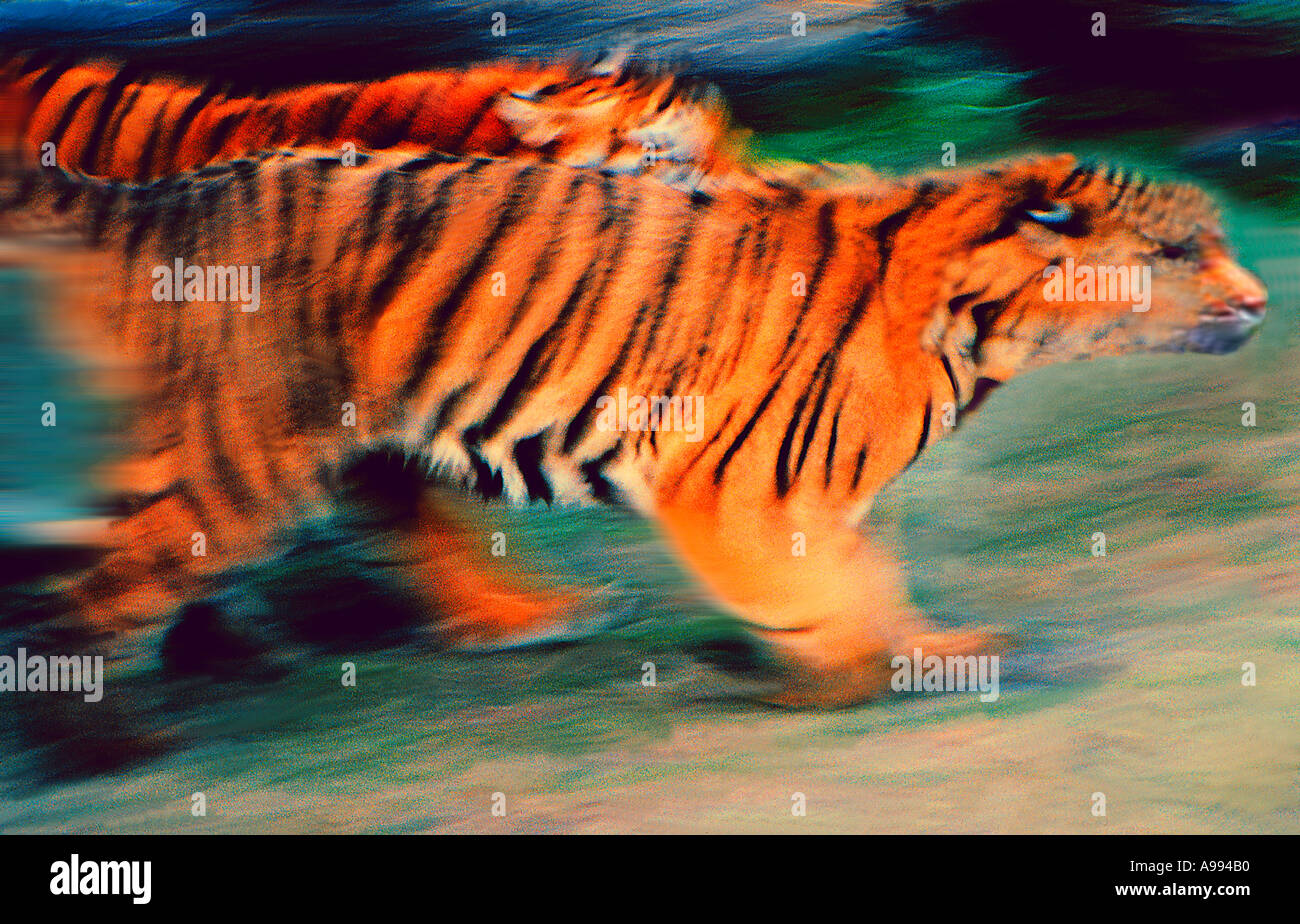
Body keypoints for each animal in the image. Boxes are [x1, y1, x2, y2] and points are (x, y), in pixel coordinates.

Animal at [0, 146, 1267, 709]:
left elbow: (869, 575)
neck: (989, 331)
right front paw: (844, 669)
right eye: (1177, 252)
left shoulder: (816, 494)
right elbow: (817, 592)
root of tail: (167, 194)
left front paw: (931, 647)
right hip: (242, 463)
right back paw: (97, 726)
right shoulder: (738, 481)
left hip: (332, 440)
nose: (1258, 300)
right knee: (104, 589)